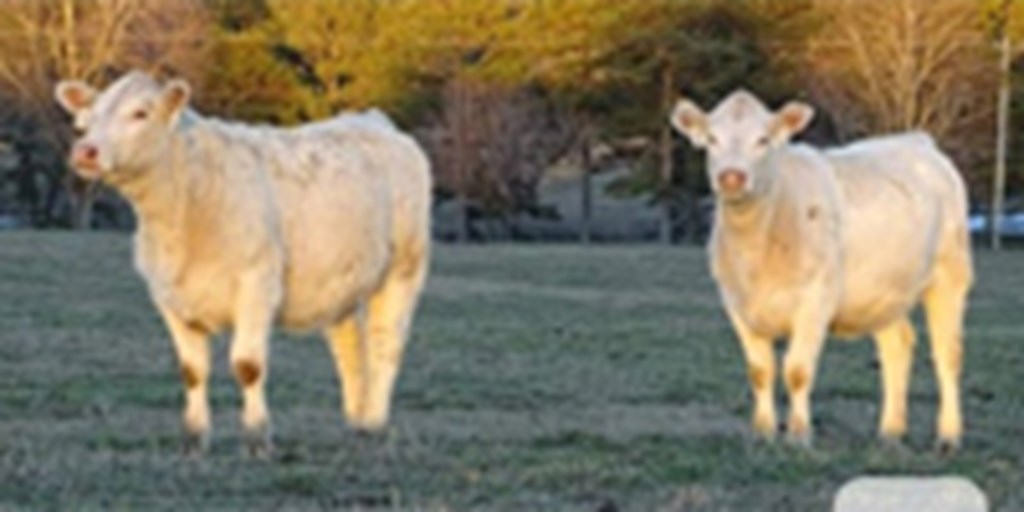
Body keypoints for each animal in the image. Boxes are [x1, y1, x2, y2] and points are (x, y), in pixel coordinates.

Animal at [55, 71, 432, 457]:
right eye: (87, 119)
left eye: (140, 113)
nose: (85, 151)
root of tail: (373, 119)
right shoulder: (169, 296)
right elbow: (191, 370)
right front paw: (194, 437)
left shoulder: (257, 285)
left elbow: (248, 366)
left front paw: (257, 437)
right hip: (340, 283)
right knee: (350, 346)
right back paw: (356, 422)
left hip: (404, 269)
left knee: (386, 343)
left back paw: (375, 423)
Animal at [669, 90, 973, 451]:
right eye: (712, 139)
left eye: (763, 140)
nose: (731, 177)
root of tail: (917, 141)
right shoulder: (736, 304)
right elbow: (760, 370)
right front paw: (763, 432)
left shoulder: (816, 300)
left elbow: (797, 370)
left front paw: (799, 435)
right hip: (883, 291)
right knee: (896, 347)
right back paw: (890, 431)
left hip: (949, 277)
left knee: (947, 354)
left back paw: (949, 435)